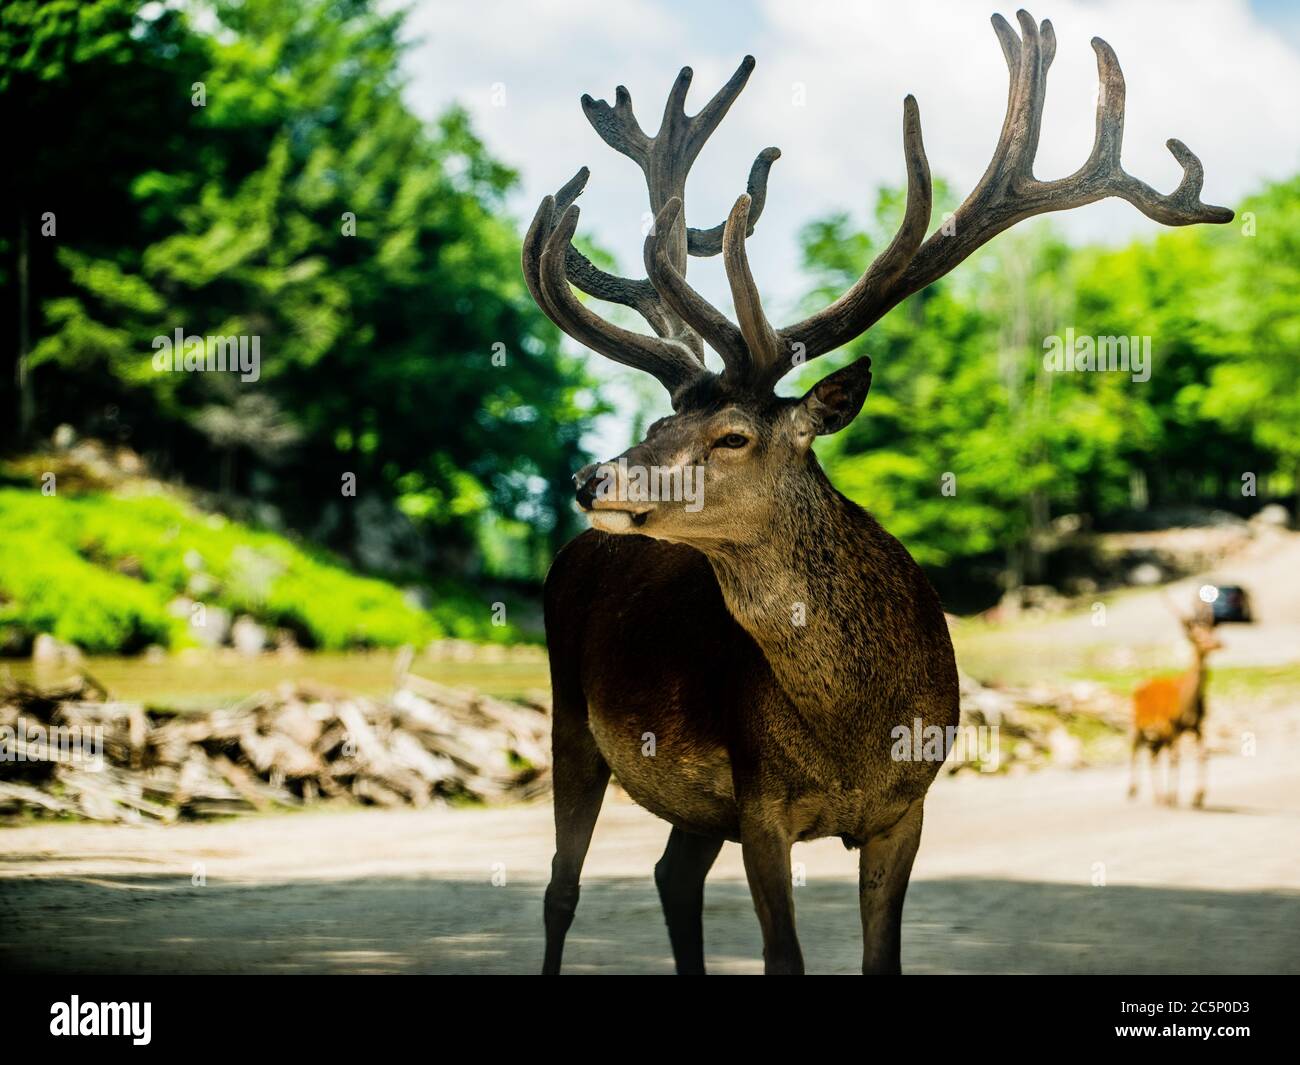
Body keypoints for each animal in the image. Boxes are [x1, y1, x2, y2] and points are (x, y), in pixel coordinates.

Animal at [1128, 599, 1224, 808]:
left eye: (1211, 631)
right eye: (1197, 637)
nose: (1218, 643)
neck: (1187, 705)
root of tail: (1137, 686)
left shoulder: (1197, 725)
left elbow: (1203, 754)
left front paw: (1198, 797)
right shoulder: (1172, 724)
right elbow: (1175, 758)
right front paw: (1175, 797)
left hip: (1157, 734)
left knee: (1152, 755)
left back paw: (1158, 796)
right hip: (1138, 723)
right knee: (1135, 749)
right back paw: (1133, 791)